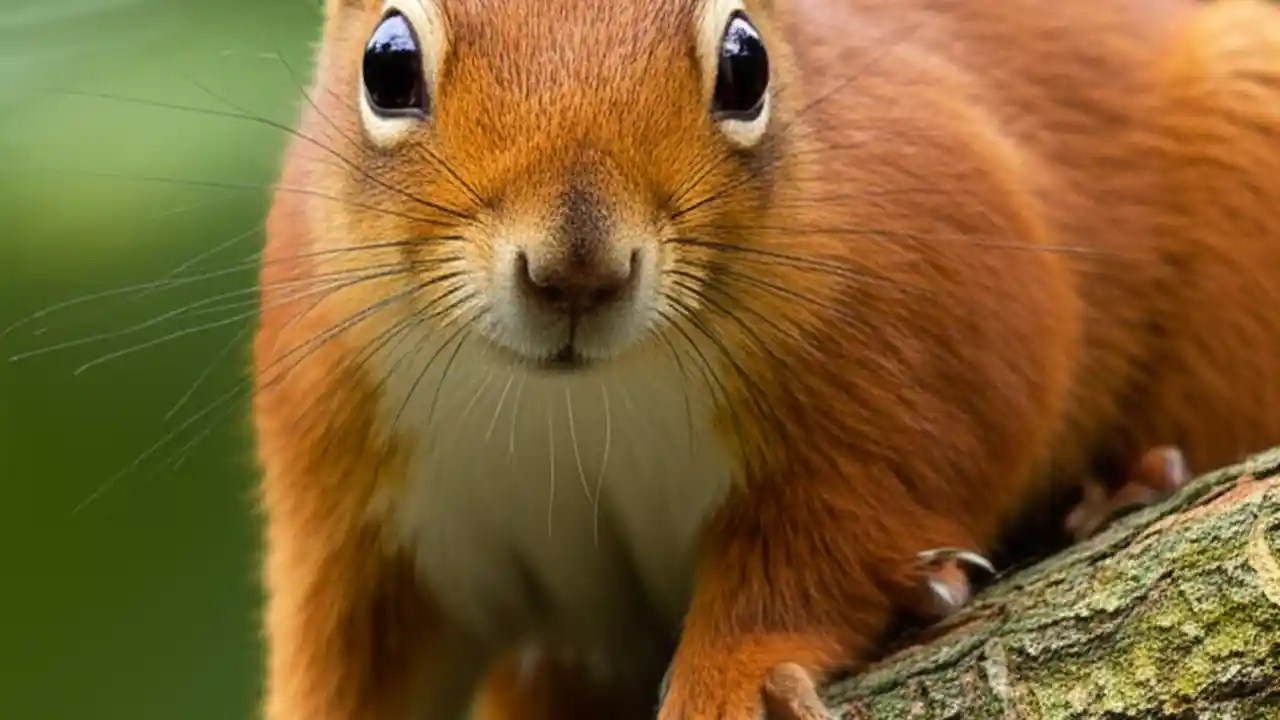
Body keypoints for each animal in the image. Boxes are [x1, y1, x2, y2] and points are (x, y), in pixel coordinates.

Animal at [253, 0, 1280, 718]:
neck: (575, 408)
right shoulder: (355, 499)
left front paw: (733, 680)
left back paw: (1126, 484)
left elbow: (831, 537)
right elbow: (348, 659)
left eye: (746, 65)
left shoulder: (937, 316)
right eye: (387, 64)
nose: (577, 271)